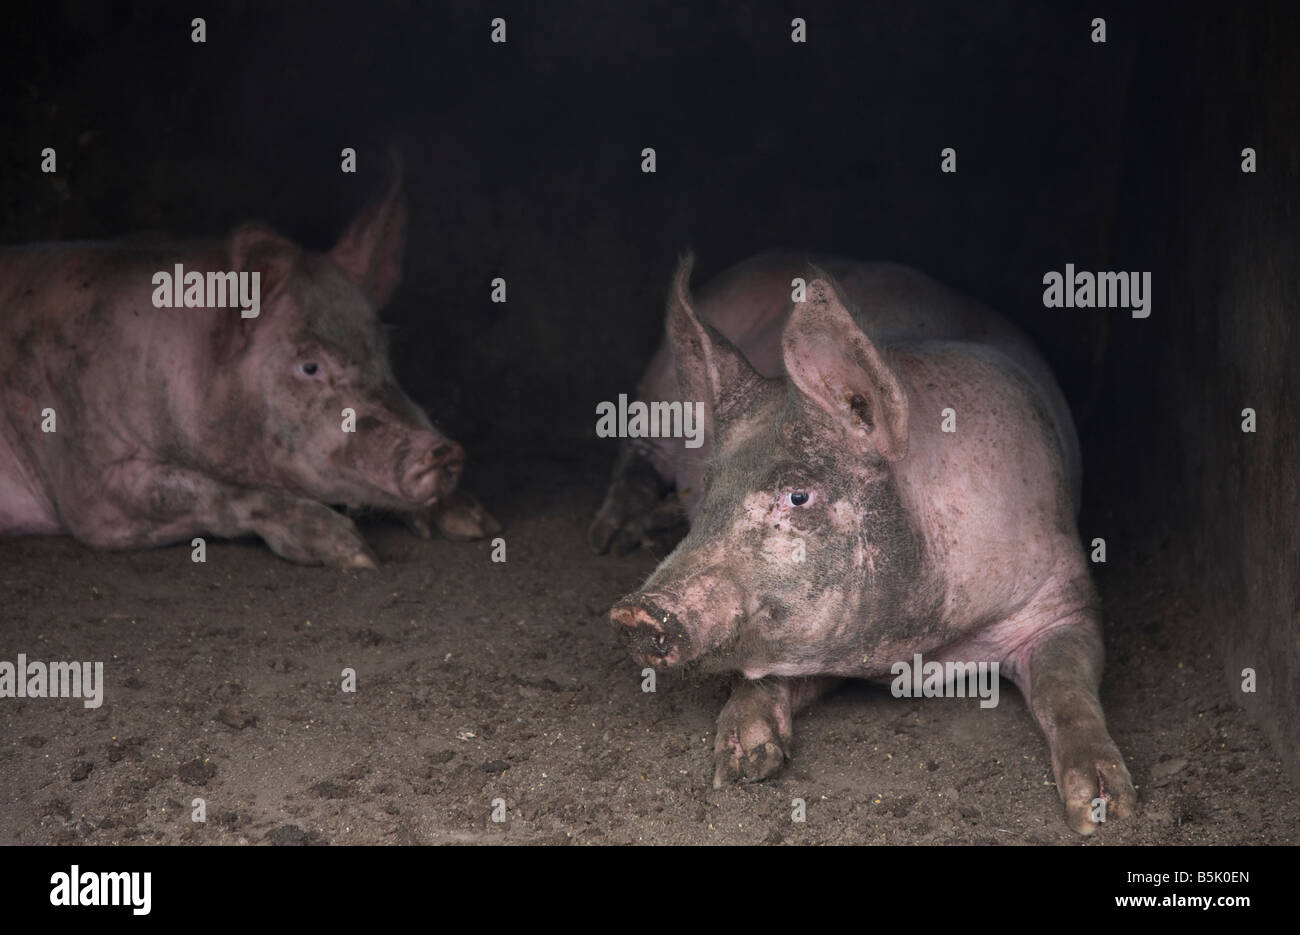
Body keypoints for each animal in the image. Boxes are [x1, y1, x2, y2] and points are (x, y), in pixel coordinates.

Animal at [0, 167, 498, 567]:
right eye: (310, 367)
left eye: (384, 349)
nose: (444, 450)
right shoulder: (84, 470)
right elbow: (202, 490)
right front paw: (353, 554)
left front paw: (477, 523)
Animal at [593, 251, 1135, 834]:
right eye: (710, 489)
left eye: (798, 495)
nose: (635, 610)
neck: (912, 647)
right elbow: (762, 676)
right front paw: (741, 765)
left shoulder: (1063, 596)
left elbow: (1065, 687)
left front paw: (1104, 810)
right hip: (654, 396)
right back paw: (611, 537)